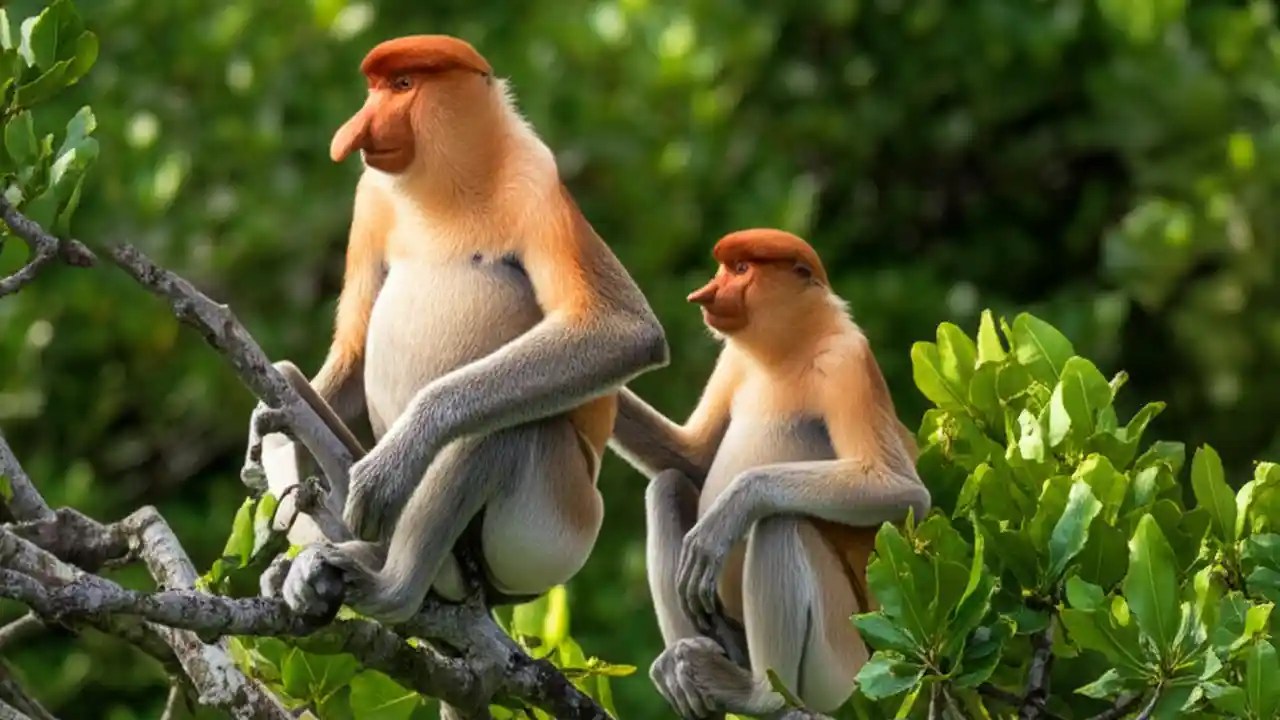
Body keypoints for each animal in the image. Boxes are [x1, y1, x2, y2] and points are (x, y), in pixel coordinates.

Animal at [248, 34, 668, 624]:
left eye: (403, 85)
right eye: (374, 88)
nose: (354, 133)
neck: (444, 187)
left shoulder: (537, 185)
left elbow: (627, 330)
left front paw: (393, 464)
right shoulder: (371, 197)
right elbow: (354, 353)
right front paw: (259, 437)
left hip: (555, 531)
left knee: (503, 428)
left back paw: (391, 586)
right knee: (287, 381)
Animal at [608, 228, 930, 718]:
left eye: (741, 269)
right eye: (723, 268)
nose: (704, 293)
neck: (785, 350)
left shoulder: (847, 362)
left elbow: (903, 490)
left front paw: (729, 513)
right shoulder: (733, 361)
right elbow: (691, 460)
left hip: (841, 667)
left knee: (780, 522)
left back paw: (757, 693)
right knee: (667, 486)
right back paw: (686, 661)